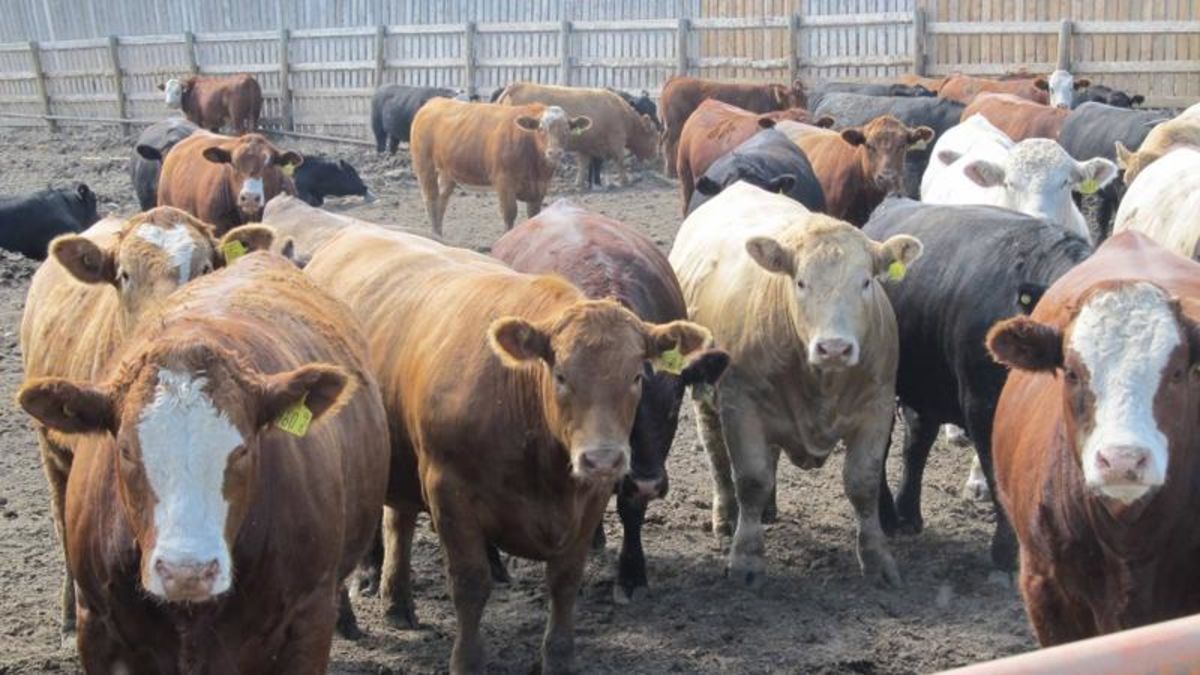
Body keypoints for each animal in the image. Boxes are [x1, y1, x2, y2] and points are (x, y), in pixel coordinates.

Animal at [301, 224, 711, 671]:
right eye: (560, 375)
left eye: (635, 376)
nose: (602, 459)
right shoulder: (449, 491)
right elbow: (470, 583)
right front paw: (467, 660)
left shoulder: (590, 498)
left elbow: (565, 581)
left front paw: (559, 657)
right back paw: (346, 617)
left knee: (400, 521)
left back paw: (398, 602)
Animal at [409, 98, 591, 235]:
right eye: (540, 128)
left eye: (567, 129)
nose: (554, 153)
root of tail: (434, 102)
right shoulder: (504, 181)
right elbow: (509, 213)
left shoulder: (540, 187)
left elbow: (533, 216)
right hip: (424, 164)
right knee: (430, 199)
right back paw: (435, 235)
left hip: (448, 171)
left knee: (442, 200)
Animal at [496, 82, 658, 189]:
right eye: (653, 137)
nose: (655, 156)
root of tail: (516, 85)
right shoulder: (616, 141)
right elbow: (619, 161)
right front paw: (625, 182)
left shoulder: (587, 146)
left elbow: (585, 164)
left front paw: (582, 184)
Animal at [660, 76, 807, 177]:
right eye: (792, 100)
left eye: (805, 99)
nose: (803, 113)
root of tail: (676, 79)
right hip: (675, 125)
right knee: (668, 143)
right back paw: (670, 172)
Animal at [670, 181, 922, 588]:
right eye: (801, 282)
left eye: (866, 281)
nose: (834, 348)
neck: (820, 383)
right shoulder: (741, 406)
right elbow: (751, 479)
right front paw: (746, 559)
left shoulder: (878, 406)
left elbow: (863, 485)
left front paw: (878, 560)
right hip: (706, 399)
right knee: (717, 454)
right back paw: (725, 516)